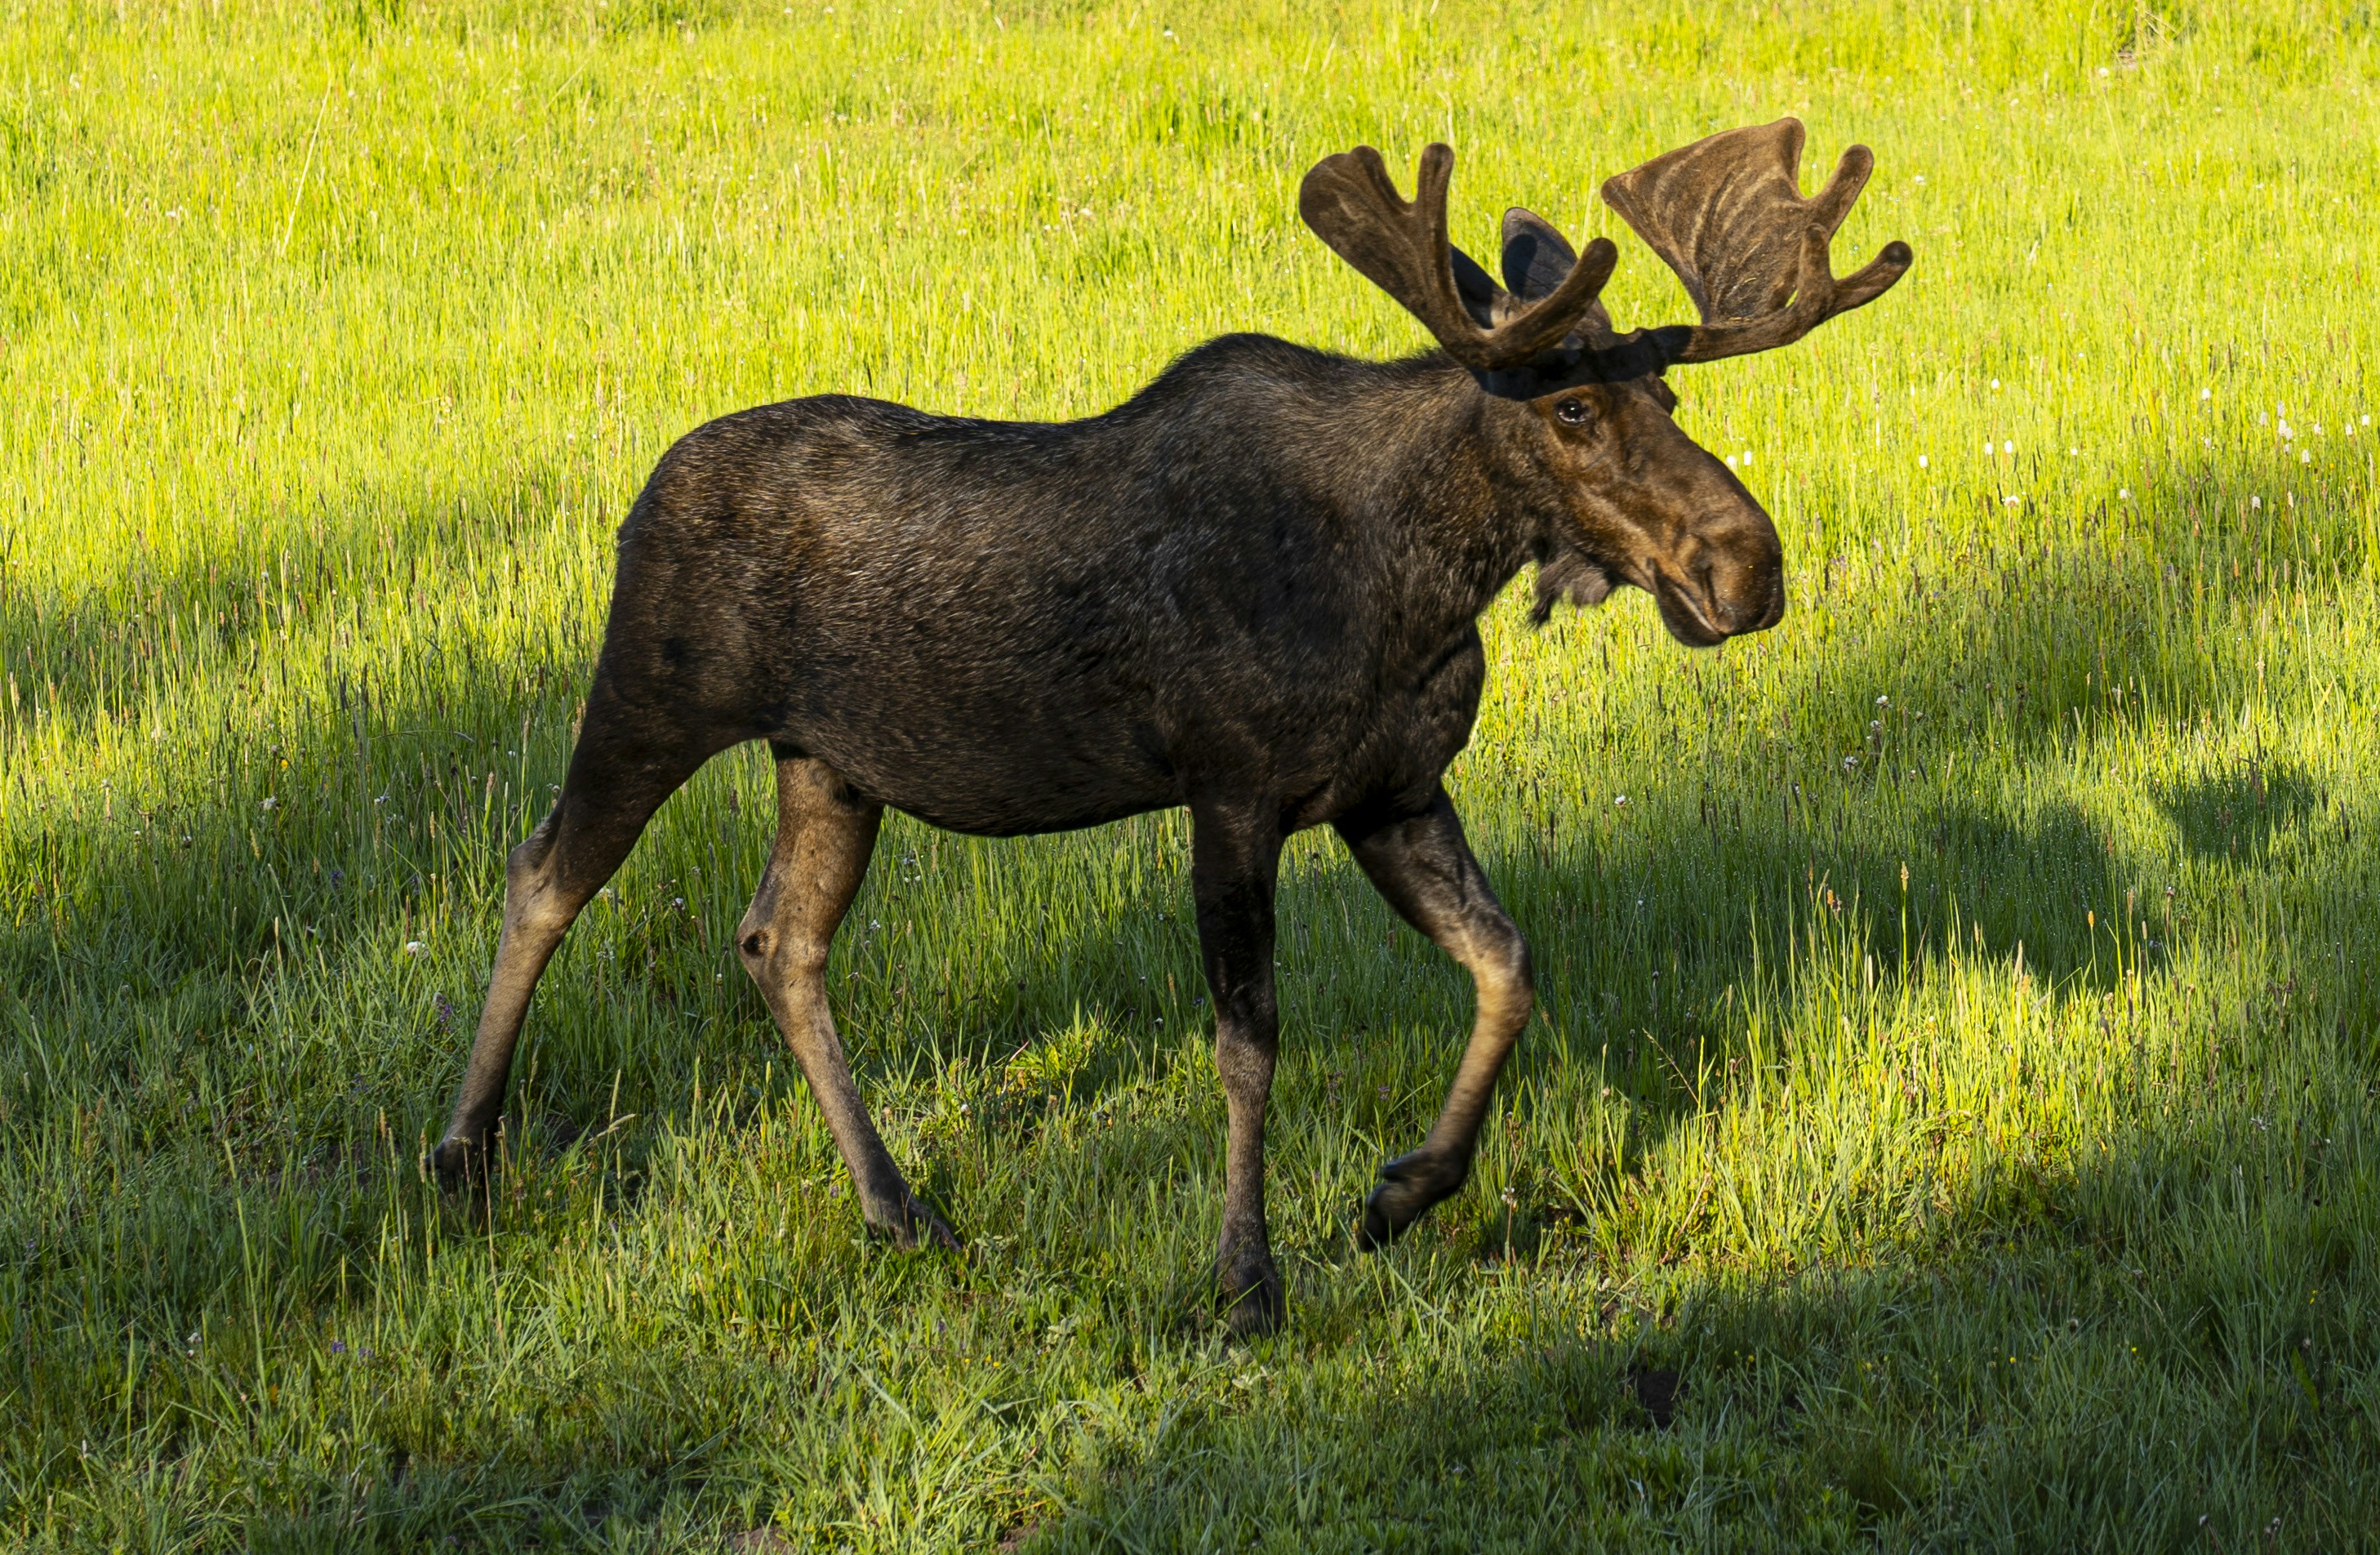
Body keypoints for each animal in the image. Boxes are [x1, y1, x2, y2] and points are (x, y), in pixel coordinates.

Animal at [431, 118, 1909, 1335]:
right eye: (1573, 404)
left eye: (1672, 396)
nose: (1747, 567)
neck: (1419, 580)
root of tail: (645, 487)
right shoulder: (1231, 787)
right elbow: (1249, 1038)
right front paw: (1245, 1274)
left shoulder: (1393, 792)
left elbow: (1509, 964)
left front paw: (1401, 1193)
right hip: (652, 692)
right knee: (544, 872)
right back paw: (464, 1160)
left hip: (832, 764)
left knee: (776, 939)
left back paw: (900, 1206)